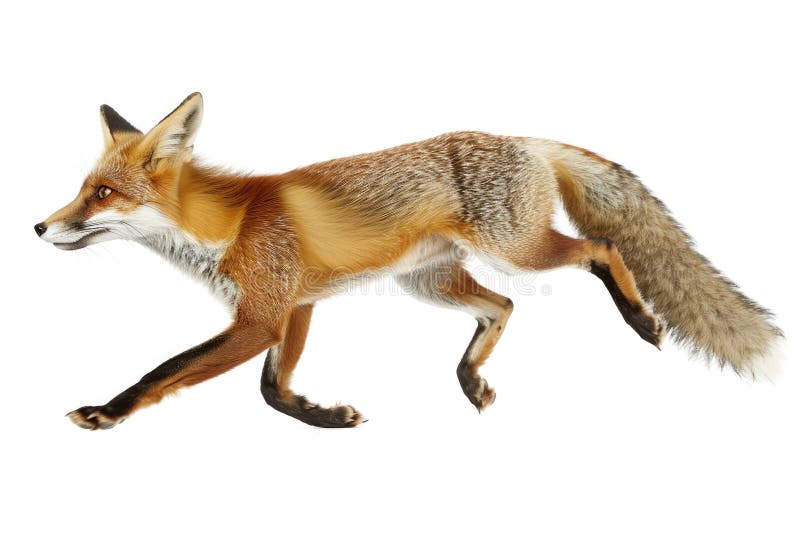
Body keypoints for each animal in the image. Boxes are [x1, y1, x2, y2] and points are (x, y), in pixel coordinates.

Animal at [36, 92, 783, 430]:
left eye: (101, 194)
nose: (39, 225)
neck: (227, 225)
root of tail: (524, 139)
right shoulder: (294, 309)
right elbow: (271, 390)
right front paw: (327, 417)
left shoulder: (263, 315)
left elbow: (166, 370)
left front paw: (106, 412)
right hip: (432, 282)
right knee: (503, 307)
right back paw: (470, 377)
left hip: (519, 251)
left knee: (601, 250)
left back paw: (639, 317)